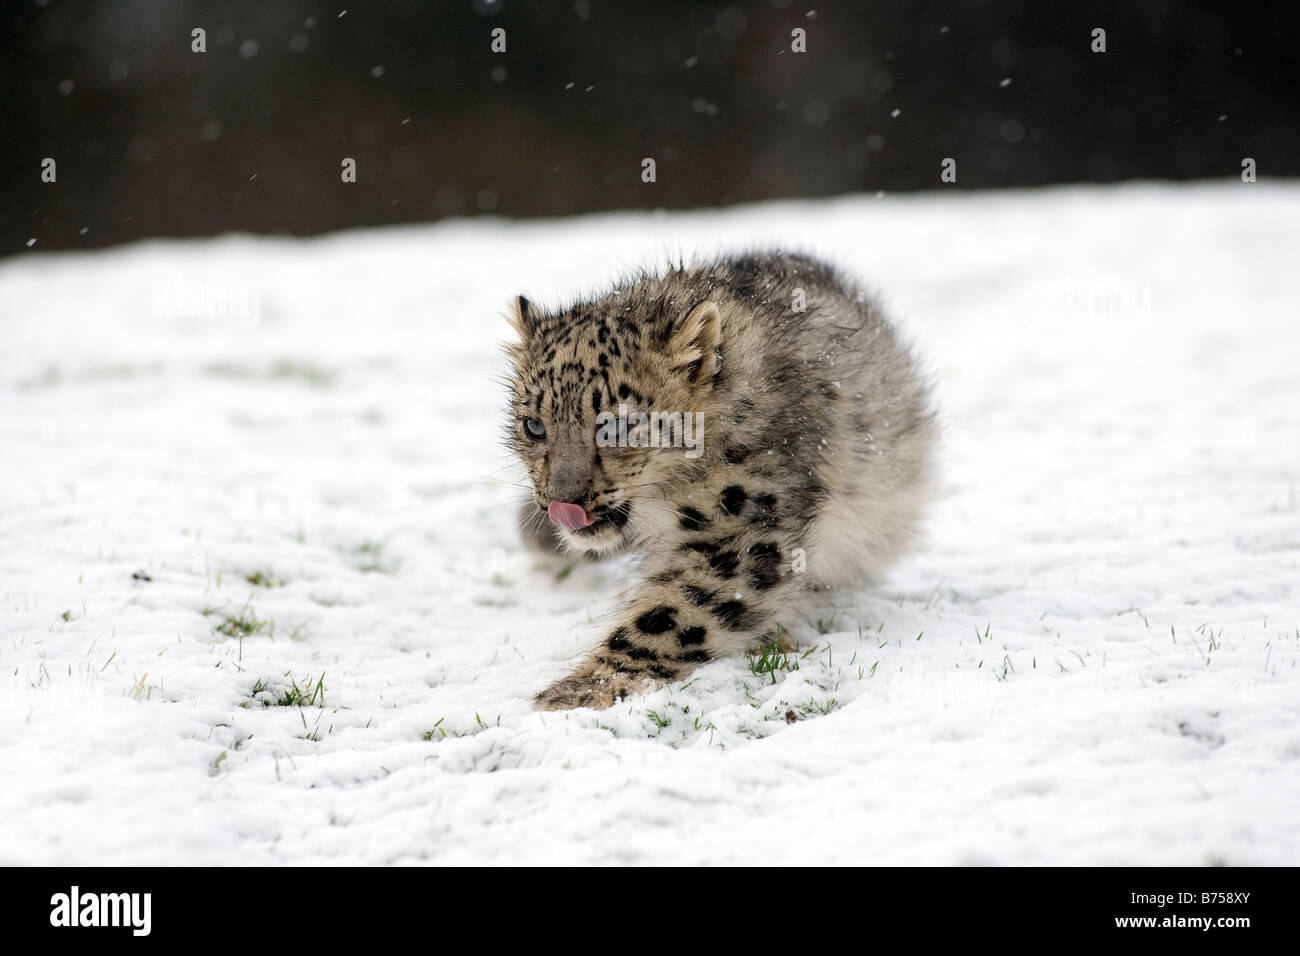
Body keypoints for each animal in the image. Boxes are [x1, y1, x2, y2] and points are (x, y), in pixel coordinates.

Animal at [504, 251, 936, 711]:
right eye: (534, 426)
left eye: (616, 426)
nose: (562, 500)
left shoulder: (743, 525)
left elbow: (672, 615)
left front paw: (578, 691)